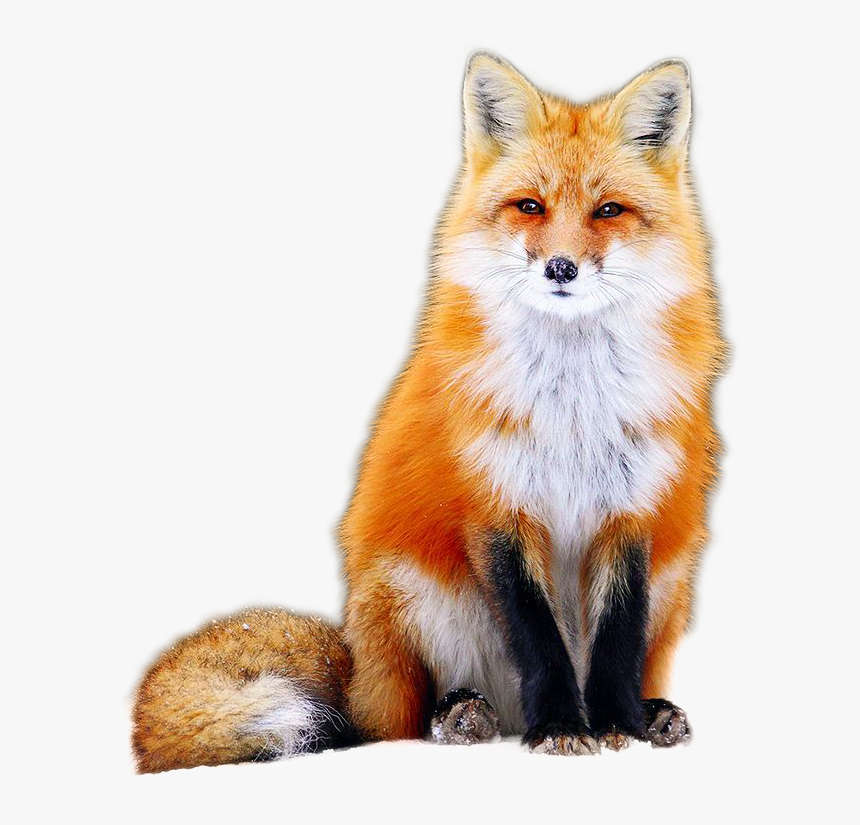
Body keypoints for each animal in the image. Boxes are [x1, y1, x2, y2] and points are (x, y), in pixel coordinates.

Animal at [132, 52, 723, 772]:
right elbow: (538, 640)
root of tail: (356, 663)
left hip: (674, 580)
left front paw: (616, 725)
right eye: (530, 206)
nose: (561, 267)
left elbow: (616, 640)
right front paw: (560, 725)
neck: (571, 409)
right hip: (411, 595)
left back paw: (654, 712)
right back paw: (460, 715)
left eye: (608, 210)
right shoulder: (496, 507)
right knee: (397, 721)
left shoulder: (632, 510)